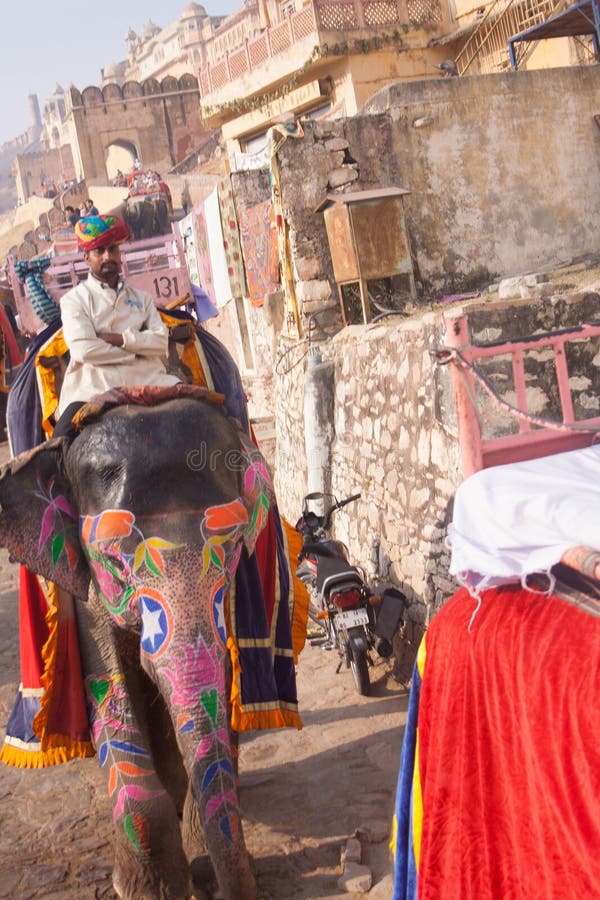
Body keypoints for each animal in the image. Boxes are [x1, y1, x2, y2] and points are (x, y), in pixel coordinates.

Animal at [0, 386, 279, 899]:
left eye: (233, 547)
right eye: (113, 560)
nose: (217, 890)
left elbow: (221, 684)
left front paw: (201, 866)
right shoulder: (82, 589)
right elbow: (109, 692)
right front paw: (152, 888)